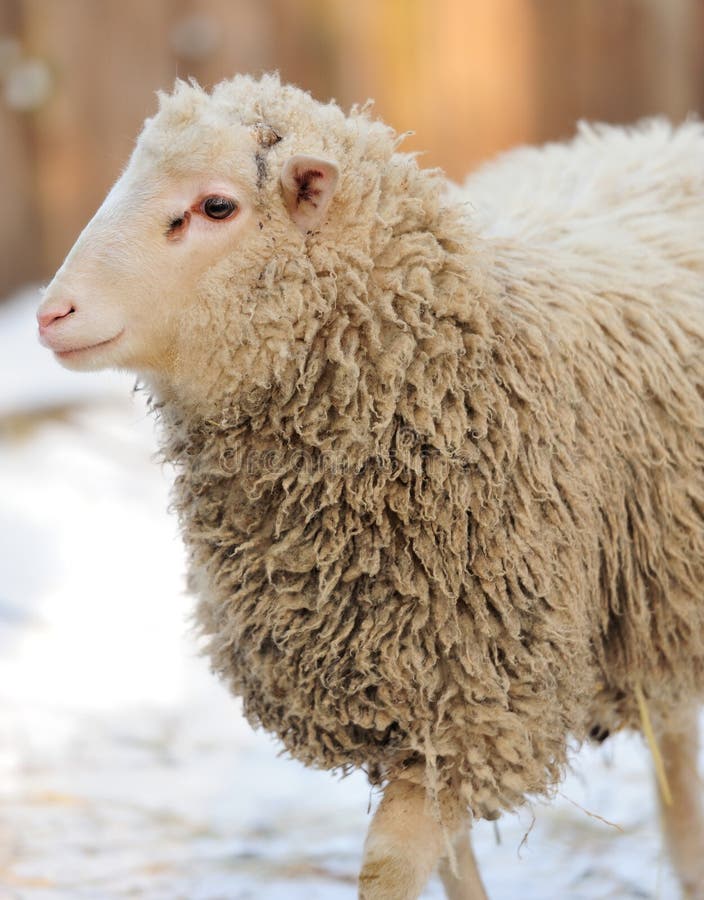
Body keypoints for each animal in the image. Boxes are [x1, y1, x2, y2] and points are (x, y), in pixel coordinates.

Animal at [37, 72, 704, 899]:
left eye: (216, 206)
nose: (50, 315)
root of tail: (657, 134)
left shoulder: (481, 698)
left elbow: (387, 865)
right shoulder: (409, 700)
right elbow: (448, 860)